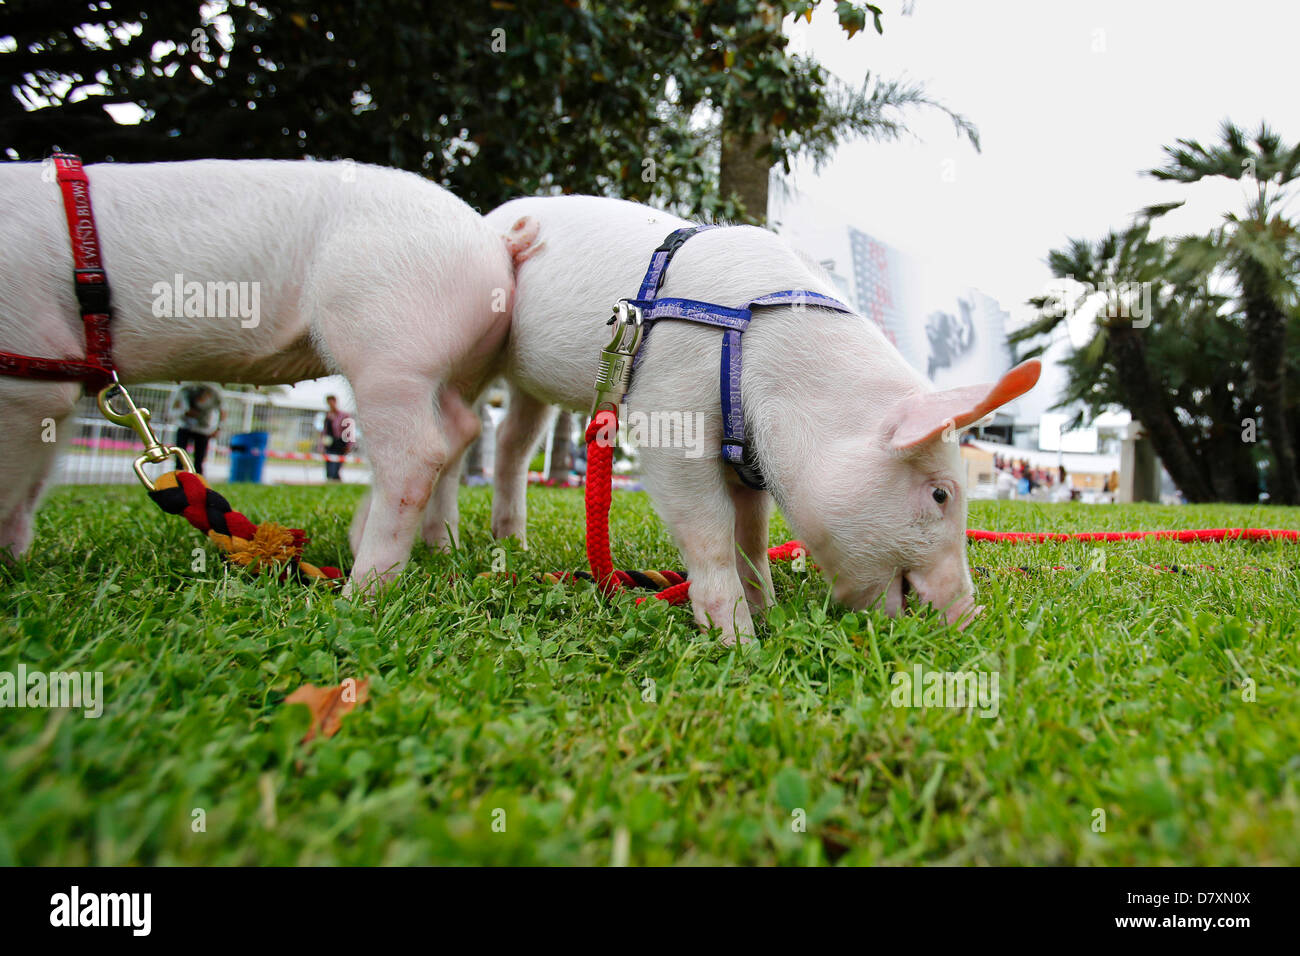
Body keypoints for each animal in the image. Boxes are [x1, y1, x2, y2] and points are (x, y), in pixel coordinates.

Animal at [0, 159, 512, 589]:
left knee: (417, 457)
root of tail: (494, 248)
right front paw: (16, 563)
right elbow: (34, 482)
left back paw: (358, 592)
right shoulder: (58, 387)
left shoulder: (25, 374)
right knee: (460, 429)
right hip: (450, 364)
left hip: (388, 337)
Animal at [467, 195, 1040, 644]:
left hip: (528, 387)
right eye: (941, 494)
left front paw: (769, 613)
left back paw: (511, 544)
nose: (974, 616)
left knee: (513, 442)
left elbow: (754, 534)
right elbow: (711, 531)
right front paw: (738, 642)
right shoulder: (667, 410)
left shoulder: (746, 453)